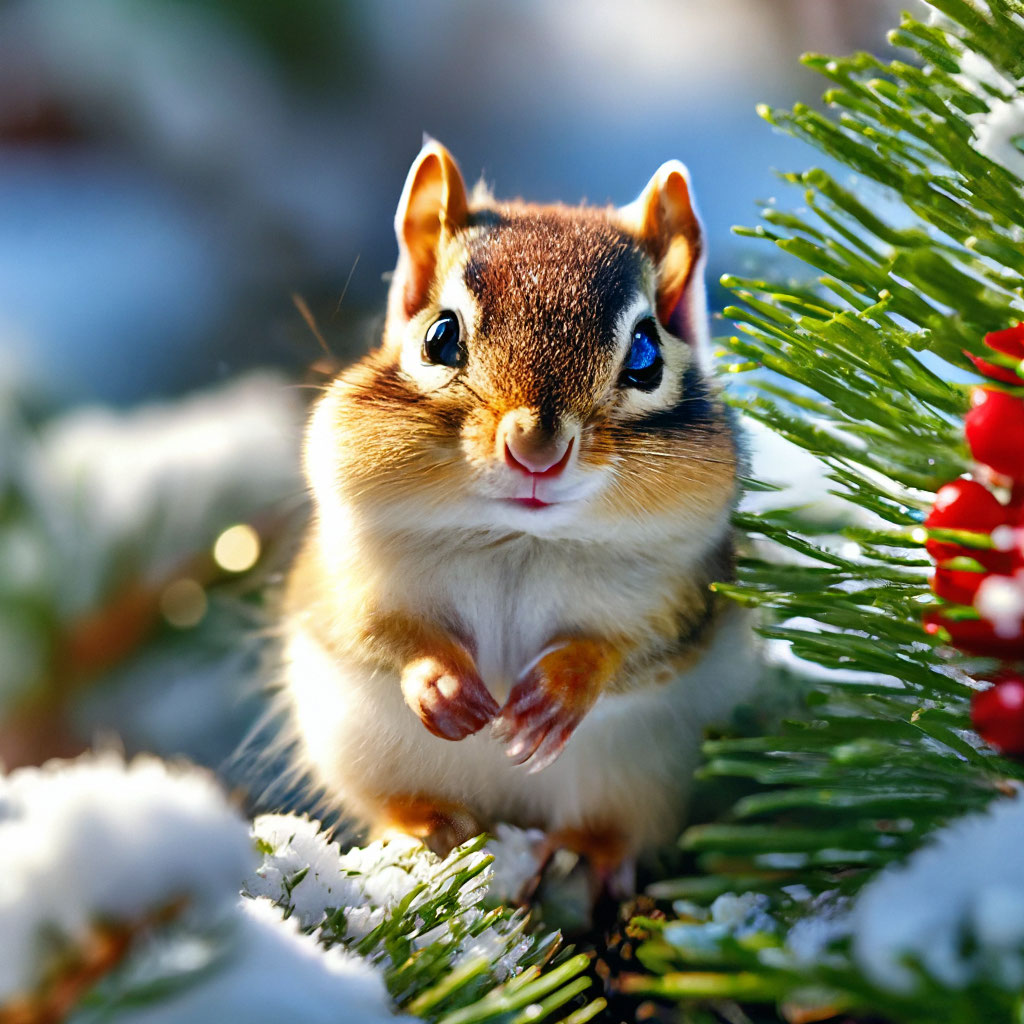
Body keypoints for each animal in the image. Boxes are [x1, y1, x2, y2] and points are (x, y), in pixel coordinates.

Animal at [280, 140, 758, 885]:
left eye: (647, 353)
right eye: (439, 337)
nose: (537, 446)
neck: (517, 540)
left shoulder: (687, 598)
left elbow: (630, 648)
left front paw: (561, 691)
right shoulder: (343, 582)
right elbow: (382, 631)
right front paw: (441, 681)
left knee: (613, 828)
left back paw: (578, 855)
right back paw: (424, 830)